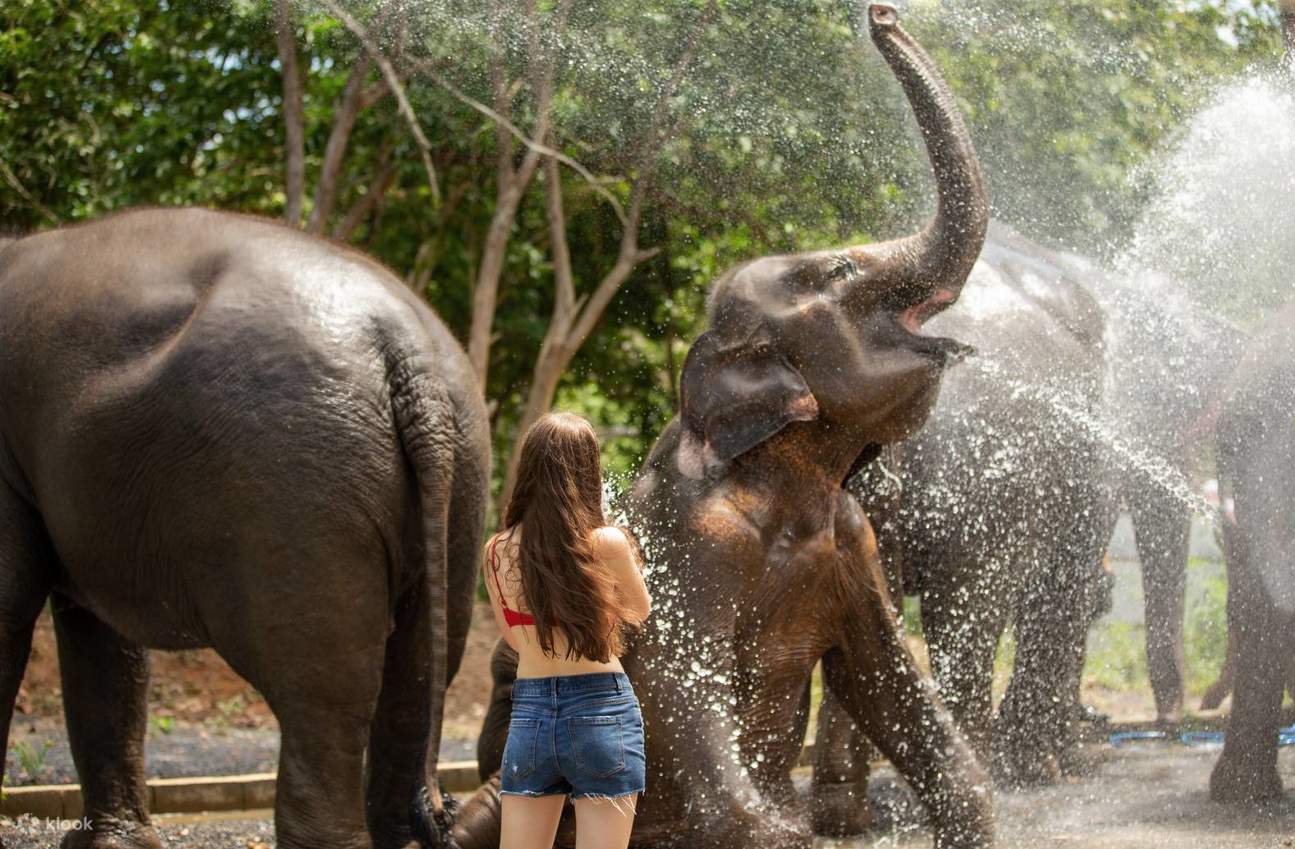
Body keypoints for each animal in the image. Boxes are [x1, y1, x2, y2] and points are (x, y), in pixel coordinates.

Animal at [0, 209, 490, 849]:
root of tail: (410, 351)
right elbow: (104, 643)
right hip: (459, 478)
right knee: (416, 677)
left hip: (293, 491)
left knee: (322, 697)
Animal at [450, 6, 994, 848]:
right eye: (840, 271)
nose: (880, 14)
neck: (790, 476)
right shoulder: (695, 544)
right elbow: (685, 676)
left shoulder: (854, 541)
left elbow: (881, 675)